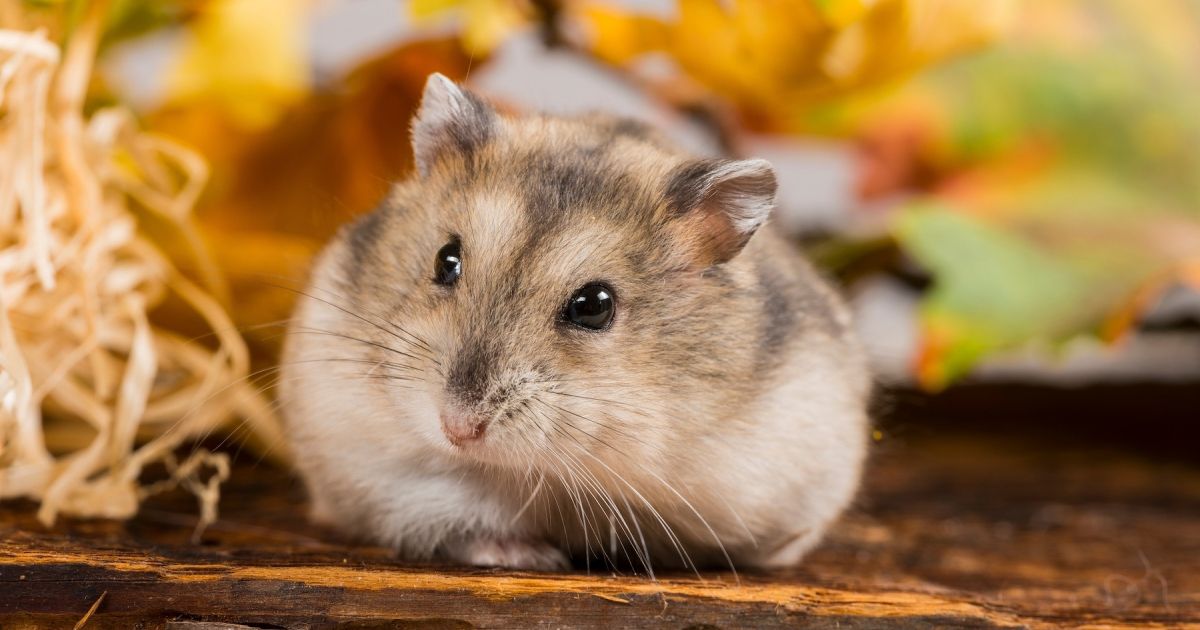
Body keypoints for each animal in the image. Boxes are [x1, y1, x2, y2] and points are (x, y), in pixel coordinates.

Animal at [278, 73, 870, 572]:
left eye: (595, 306)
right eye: (446, 261)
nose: (457, 429)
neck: (551, 476)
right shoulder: (369, 465)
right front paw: (526, 555)